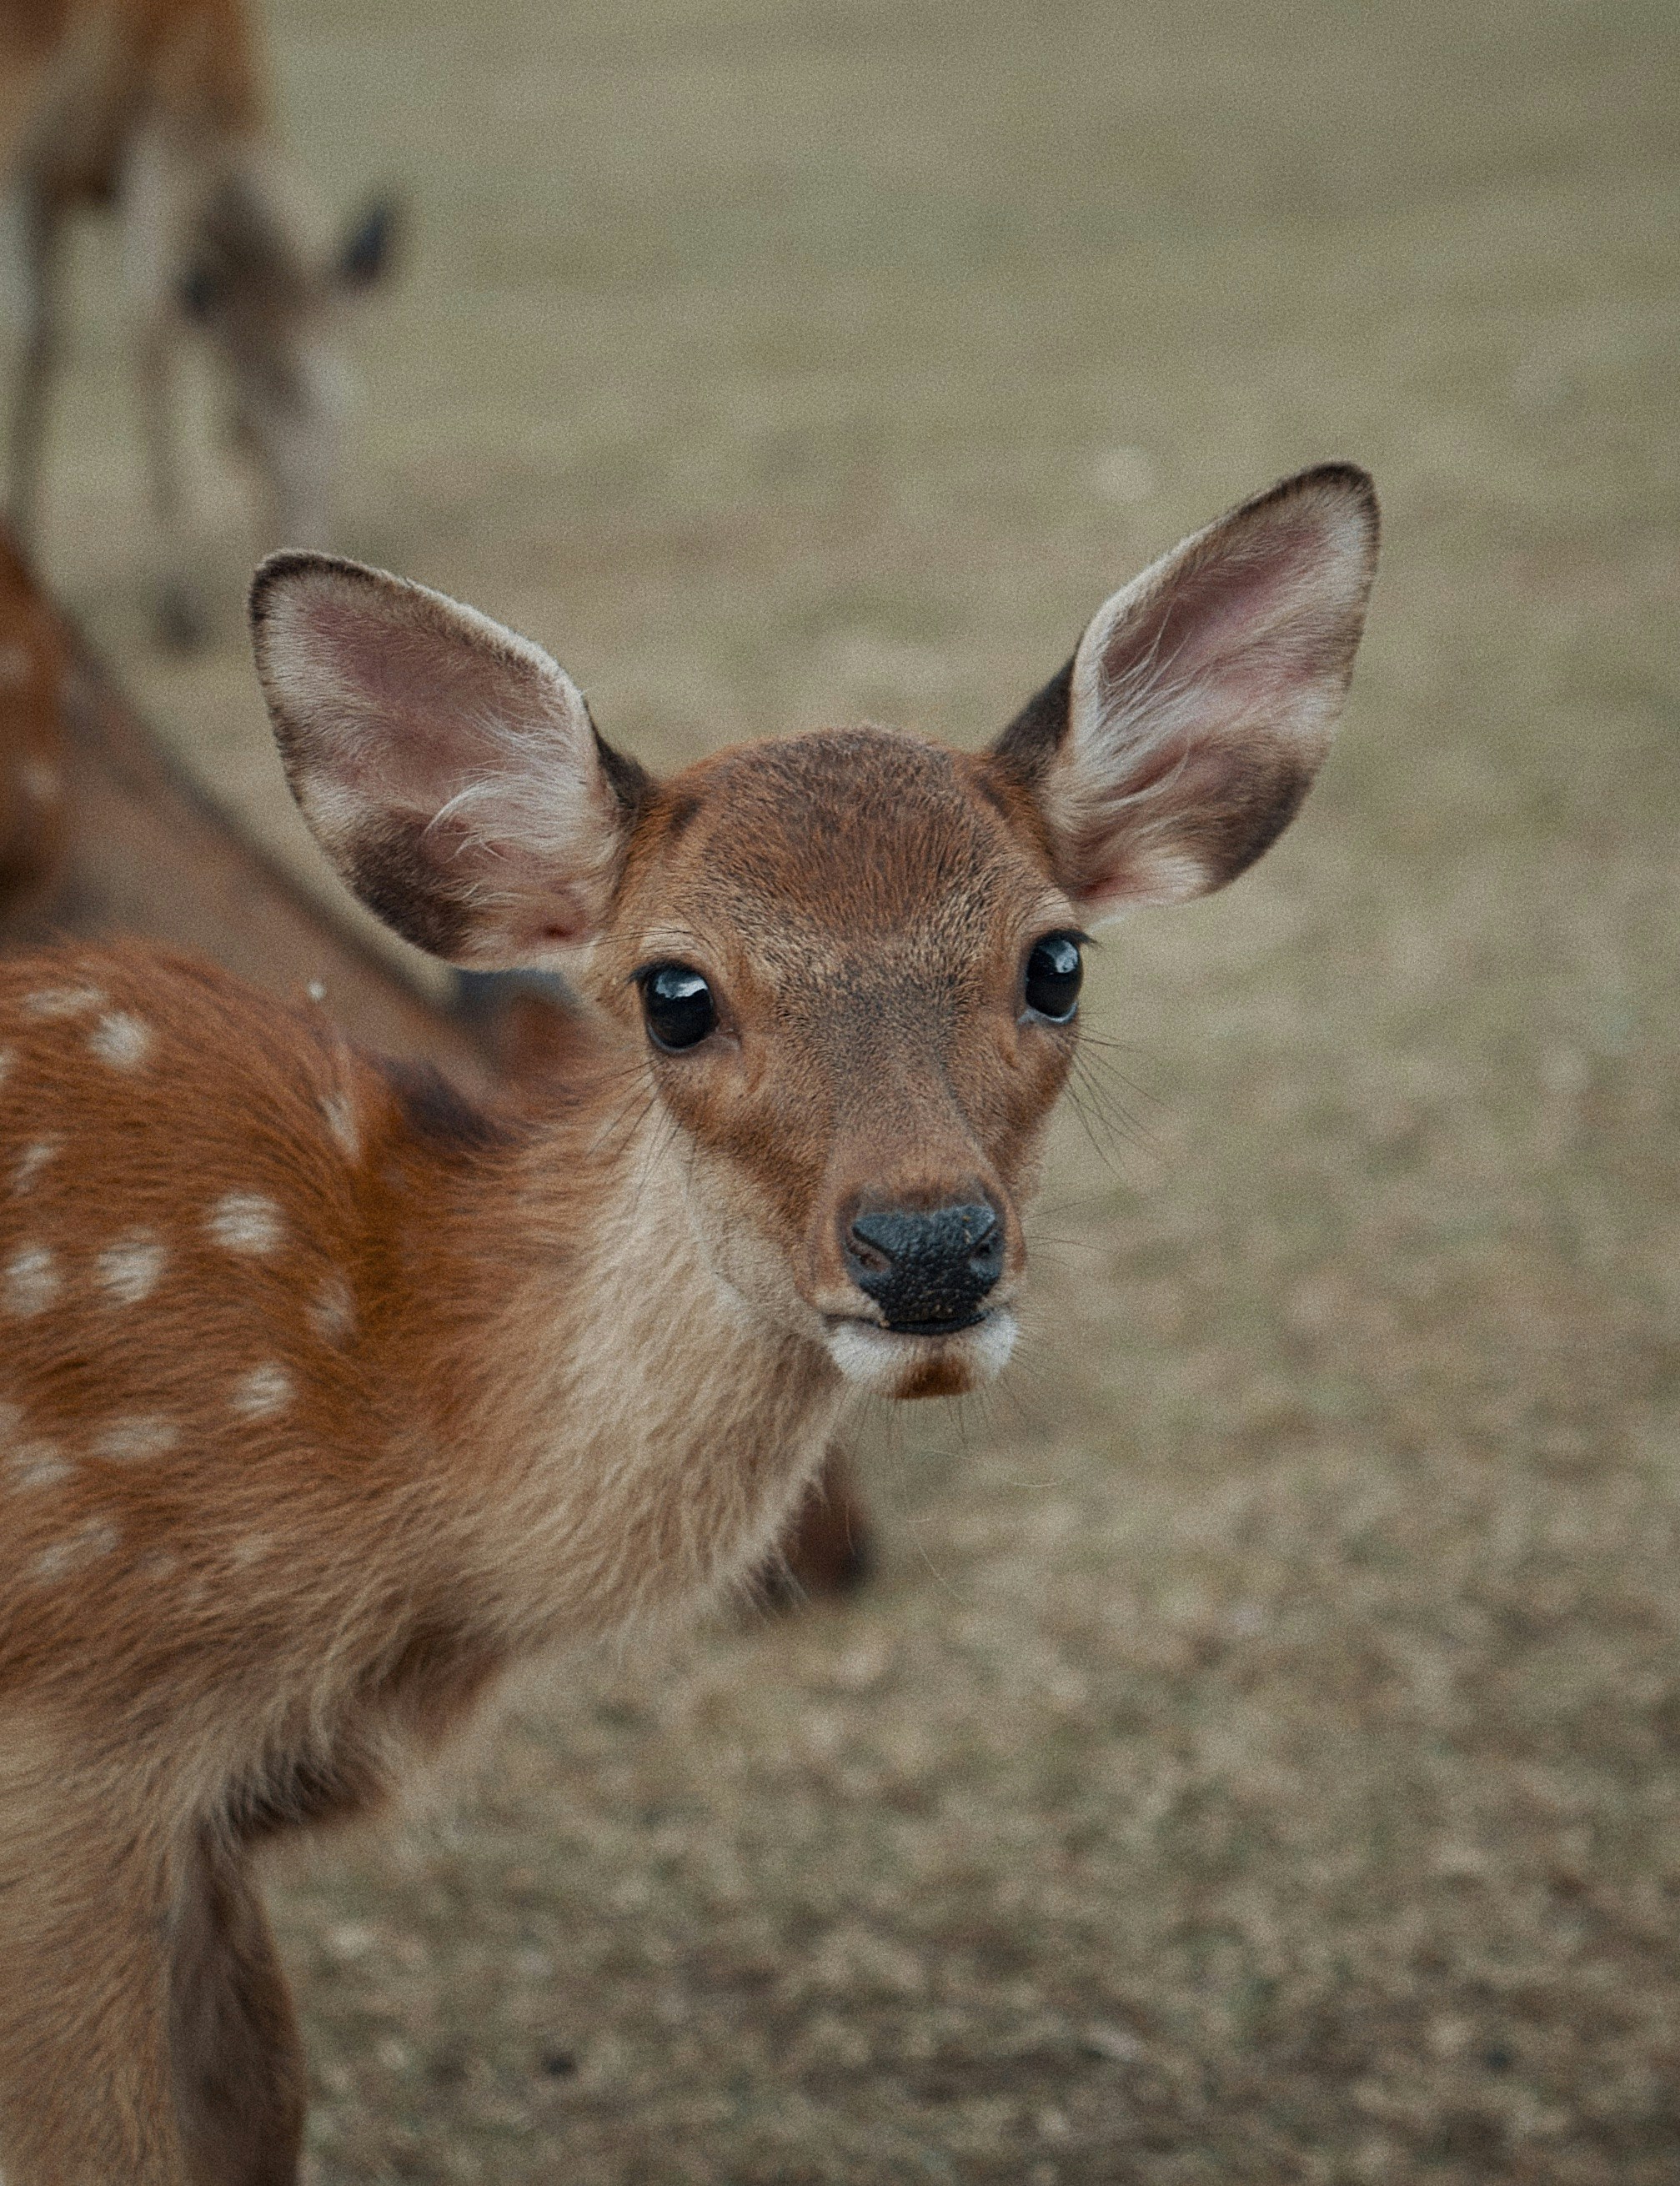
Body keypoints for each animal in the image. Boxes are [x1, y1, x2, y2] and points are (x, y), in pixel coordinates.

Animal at [0, 0, 396, 642]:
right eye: (243, 431)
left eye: (344, 420)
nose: (308, 545)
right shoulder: (53, 168)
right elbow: (101, 338)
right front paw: (175, 607)